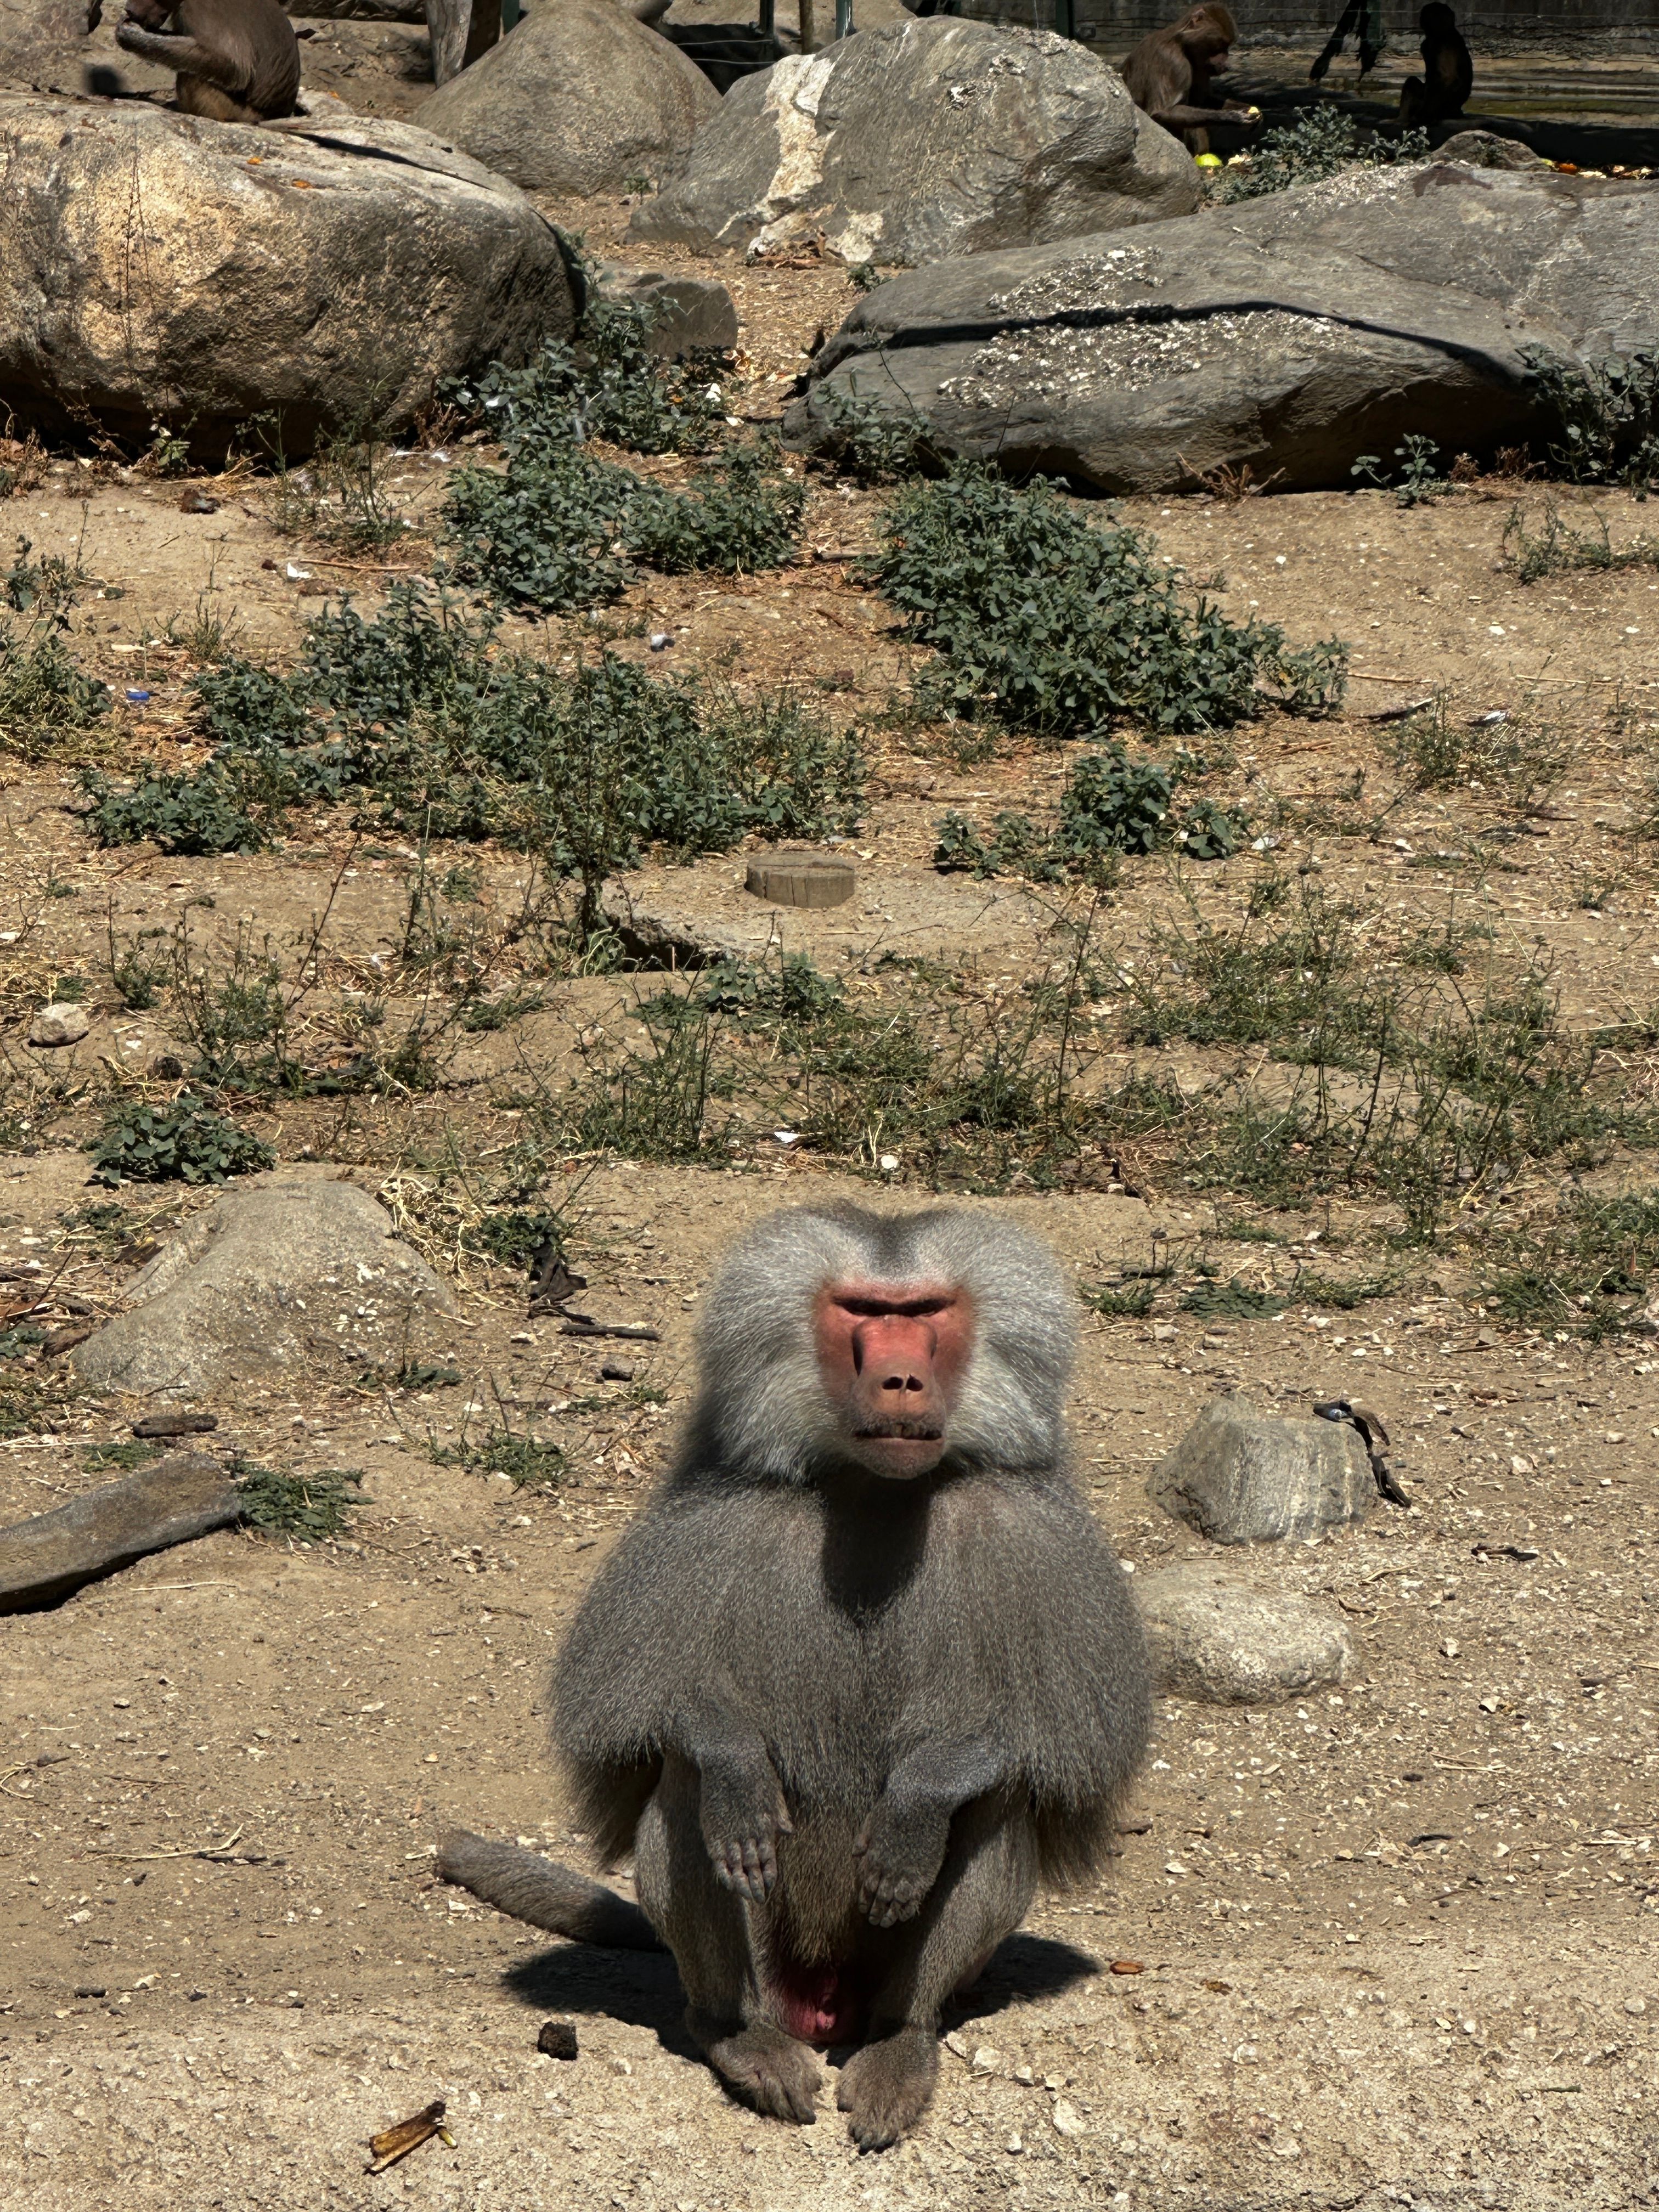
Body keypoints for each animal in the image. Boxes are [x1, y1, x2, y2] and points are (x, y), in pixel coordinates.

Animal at [115, 0, 300, 124]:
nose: (129, 8)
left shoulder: (200, 8)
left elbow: (237, 68)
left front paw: (133, 36)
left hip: (235, 111)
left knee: (192, 74)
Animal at [440, 1204, 1151, 2151]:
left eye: (925, 1312)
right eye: (861, 1312)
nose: (899, 1381)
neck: (875, 1490)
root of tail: (822, 2009)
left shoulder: (1036, 1532)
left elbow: (1064, 1749)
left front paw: (916, 1811)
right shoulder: (713, 1517)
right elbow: (635, 1723)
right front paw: (738, 1774)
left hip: (878, 1977)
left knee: (997, 1808)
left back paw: (900, 2048)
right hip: (772, 1973)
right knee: (687, 1793)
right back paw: (741, 2038)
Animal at [1121, 4, 1259, 157]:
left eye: (1226, 47)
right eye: (1221, 46)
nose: (1227, 66)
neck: (1181, 44)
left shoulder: (1201, 67)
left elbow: (1204, 101)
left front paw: (1246, 109)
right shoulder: (1172, 61)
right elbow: (1162, 111)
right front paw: (1232, 117)